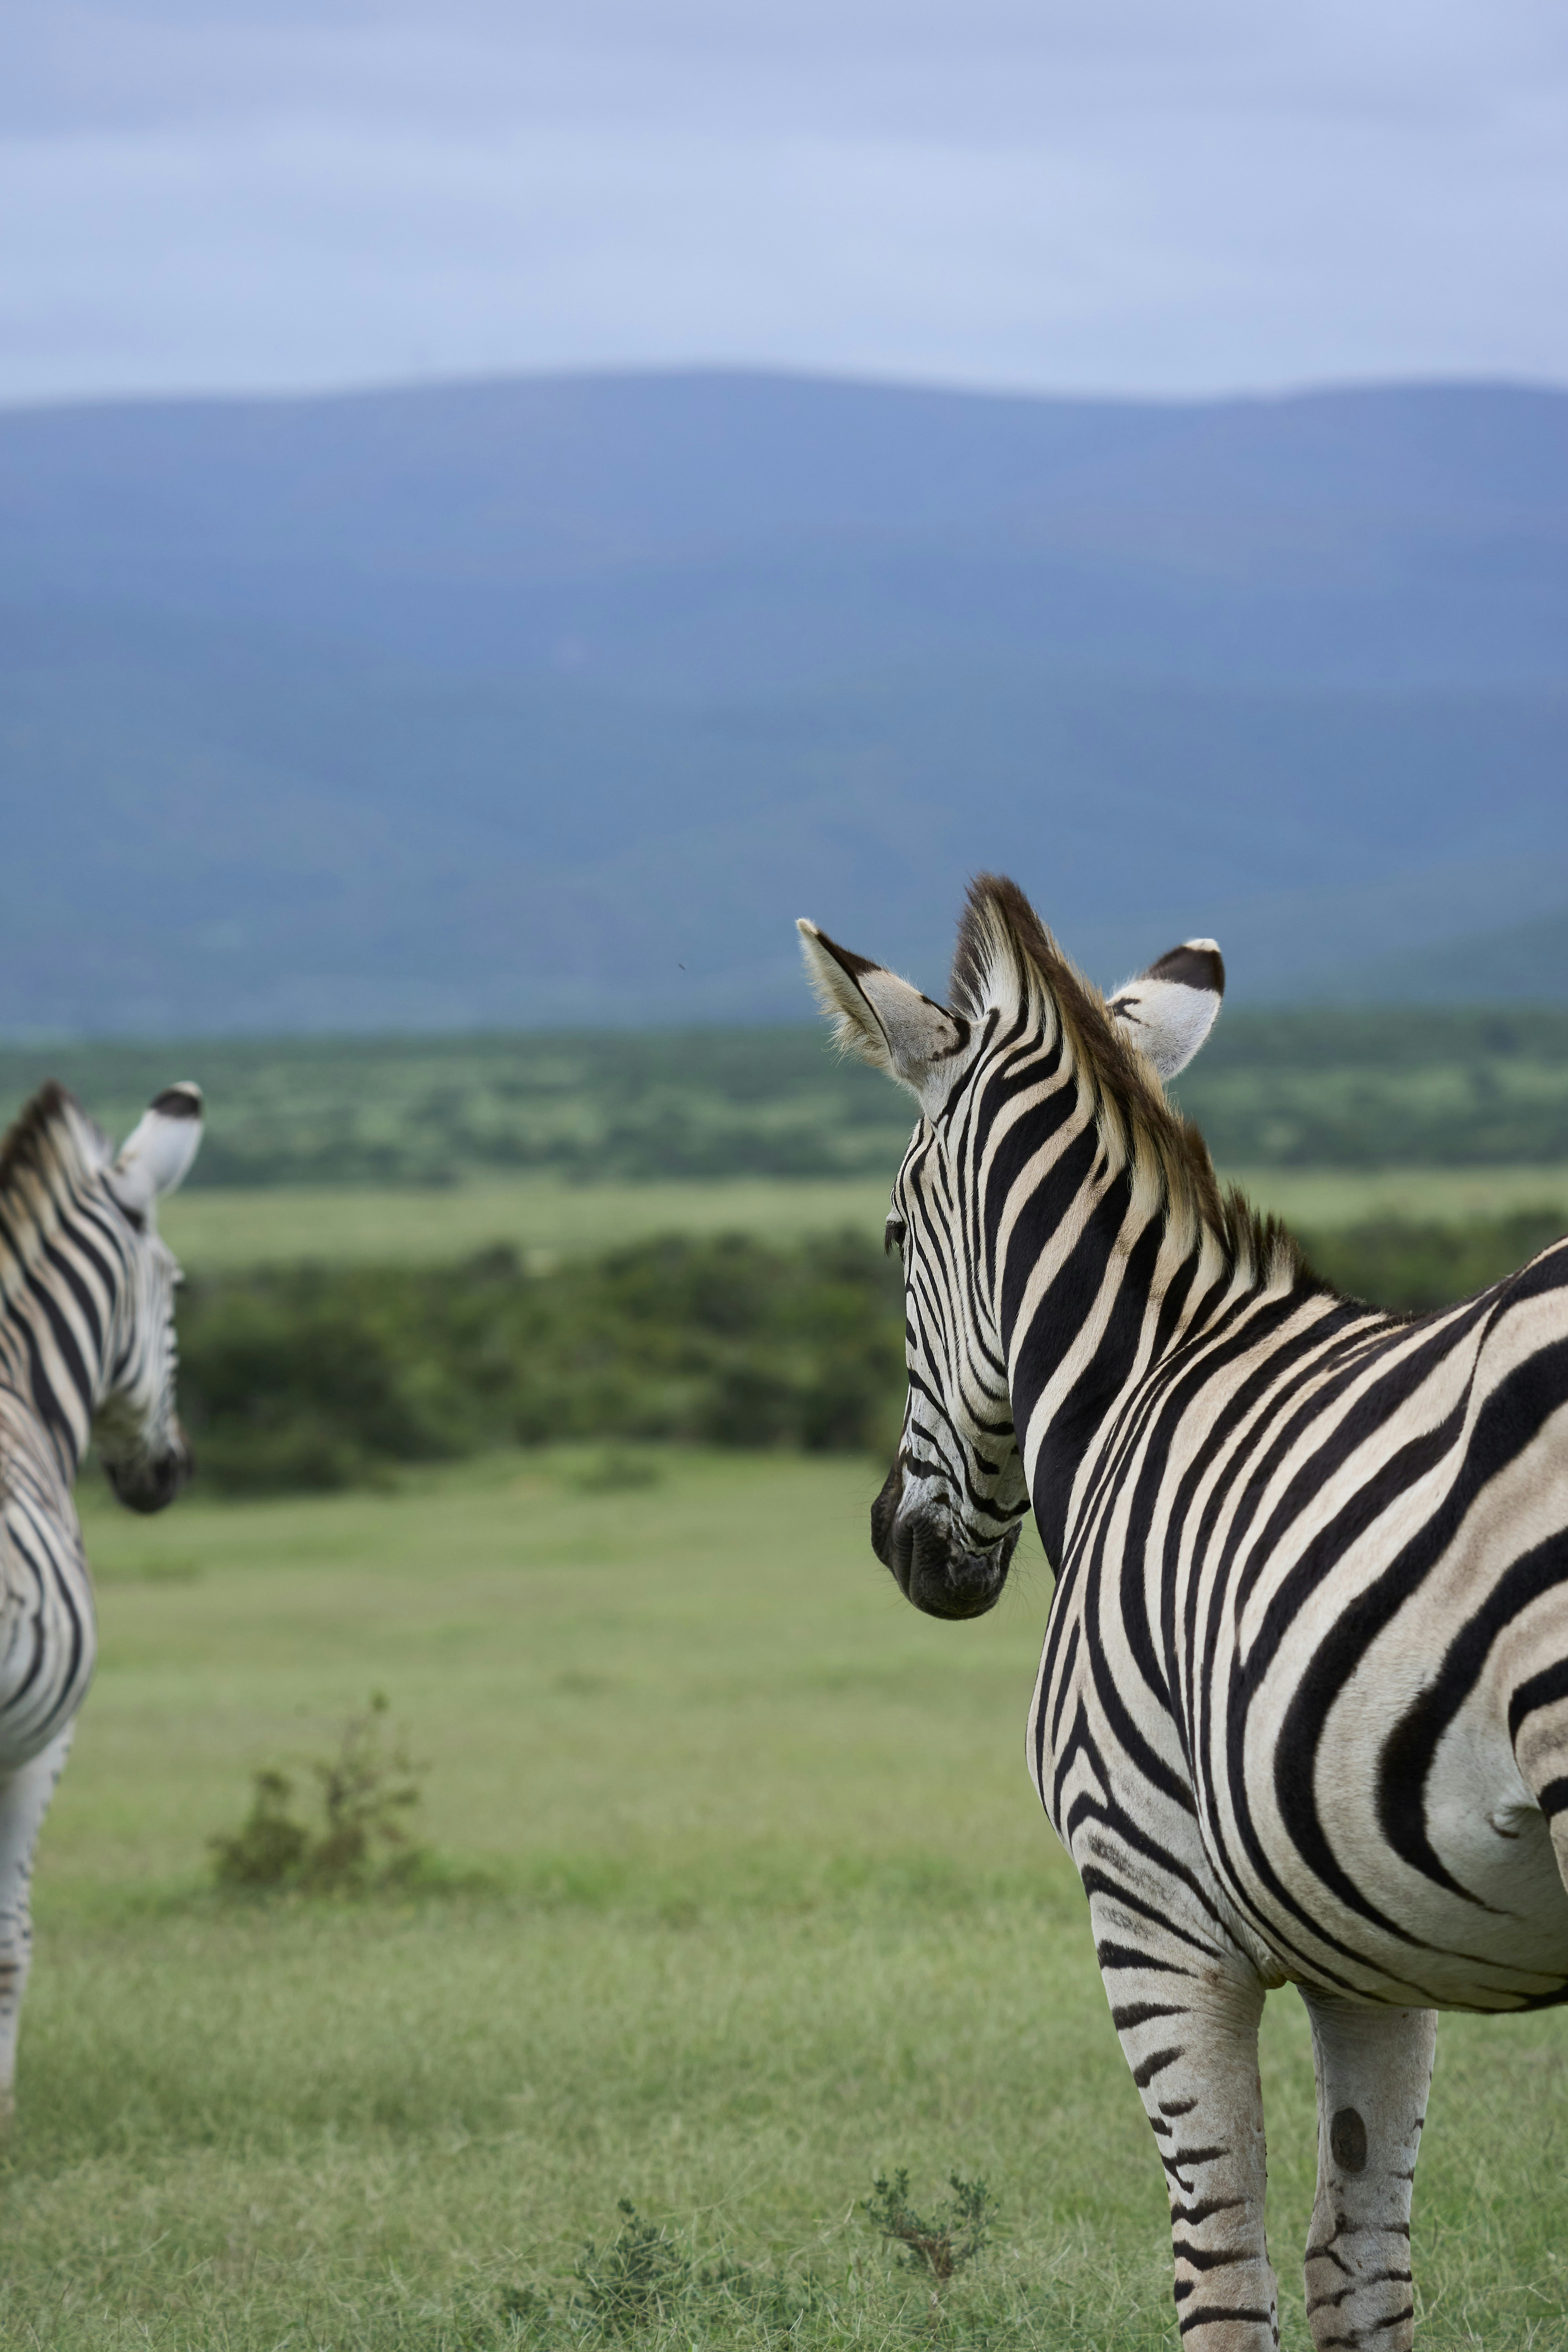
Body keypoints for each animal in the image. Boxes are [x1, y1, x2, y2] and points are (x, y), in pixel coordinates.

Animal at [799, 873, 1568, 2352]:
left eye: (889, 1235)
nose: (896, 1546)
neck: (1134, 1389)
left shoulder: (1148, 1907)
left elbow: (1219, 2262)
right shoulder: (1362, 1938)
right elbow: (1356, 2258)